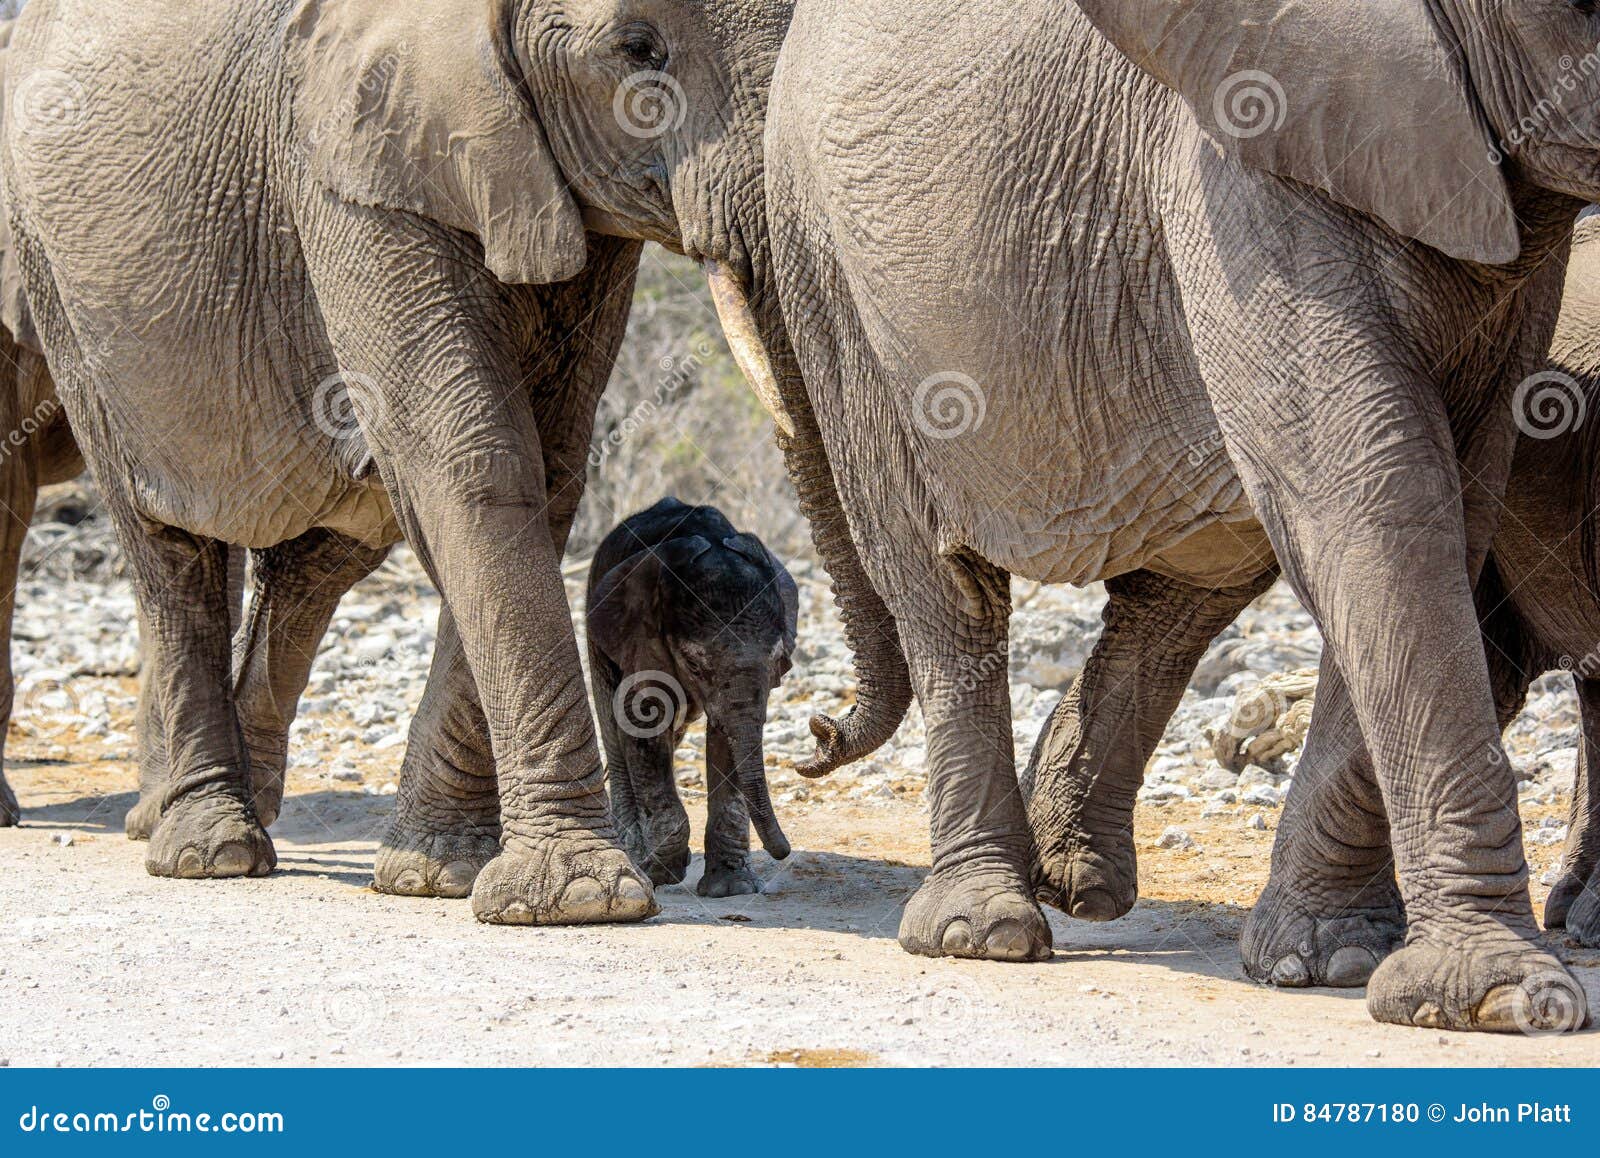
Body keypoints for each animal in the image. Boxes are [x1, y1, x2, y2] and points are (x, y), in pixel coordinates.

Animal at [586, 497, 796, 897]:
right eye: (694, 664)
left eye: (777, 660)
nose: (784, 851)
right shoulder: (638, 638)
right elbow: (641, 722)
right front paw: (658, 872)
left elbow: (726, 738)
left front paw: (730, 888)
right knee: (613, 727)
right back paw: (634, 852)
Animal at [756, 0, 1600, 1030]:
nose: (814, 734)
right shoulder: (1245, 162)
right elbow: (1372, 492)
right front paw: (1500, 999)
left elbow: (1449, 501)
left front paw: (1327, 957)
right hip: (829, 278)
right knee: (945, 590)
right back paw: (983, 930)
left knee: (1187, 585)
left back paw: (1073, 877)